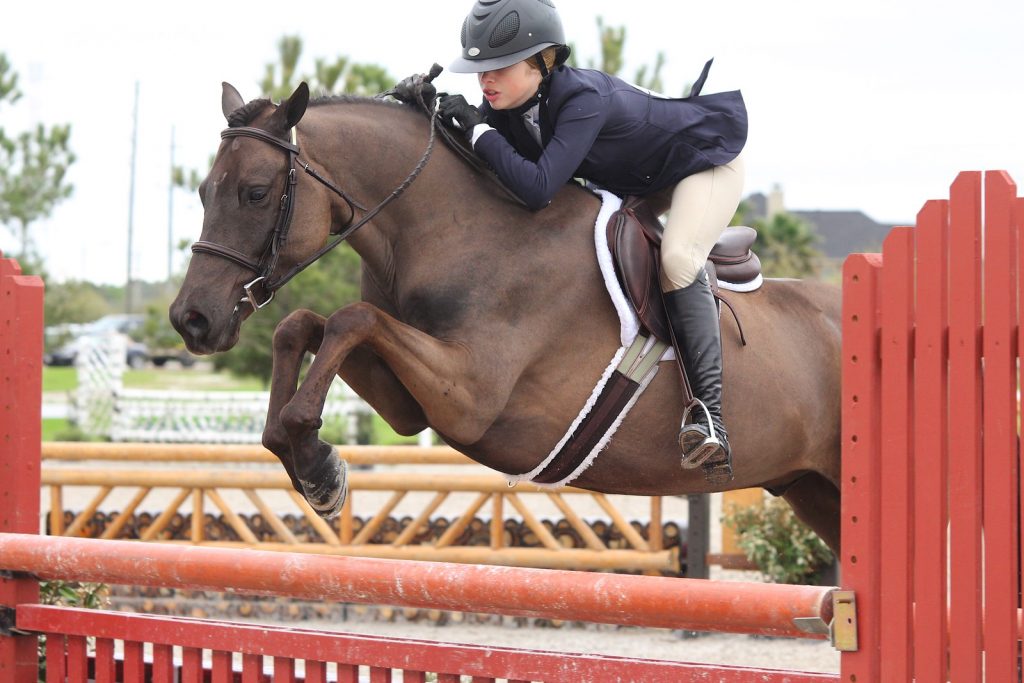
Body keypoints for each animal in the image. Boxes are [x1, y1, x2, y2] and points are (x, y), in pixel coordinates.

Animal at [170, 82, 843, 554]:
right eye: (201, 193)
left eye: (257, 192)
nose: (191, 321)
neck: (456, 231)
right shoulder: (412, 404)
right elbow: (306, 325)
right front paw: (306, 460)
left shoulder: (470, 397)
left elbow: (351, 319)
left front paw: (318, 466)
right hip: (811, 489)